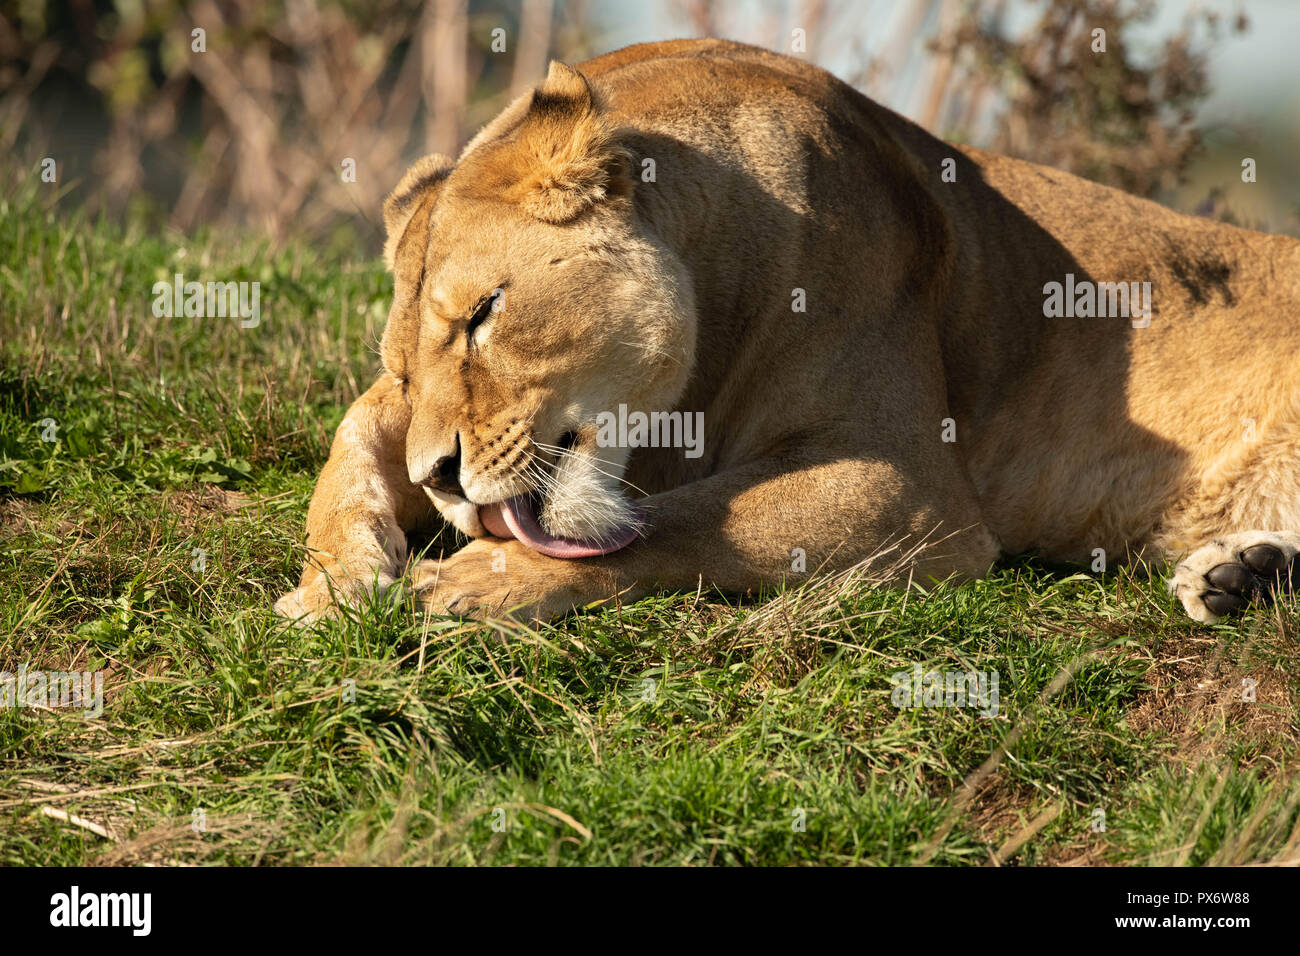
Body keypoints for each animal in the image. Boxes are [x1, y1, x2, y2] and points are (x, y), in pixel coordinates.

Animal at [275, 39, 1300, 627]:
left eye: (484, 315)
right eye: (405, 371)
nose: (443, 479)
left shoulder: (913, 487)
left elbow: (694, 518)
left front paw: (478, 579)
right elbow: (347, 451)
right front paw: (333, 584)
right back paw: (1240, 574)